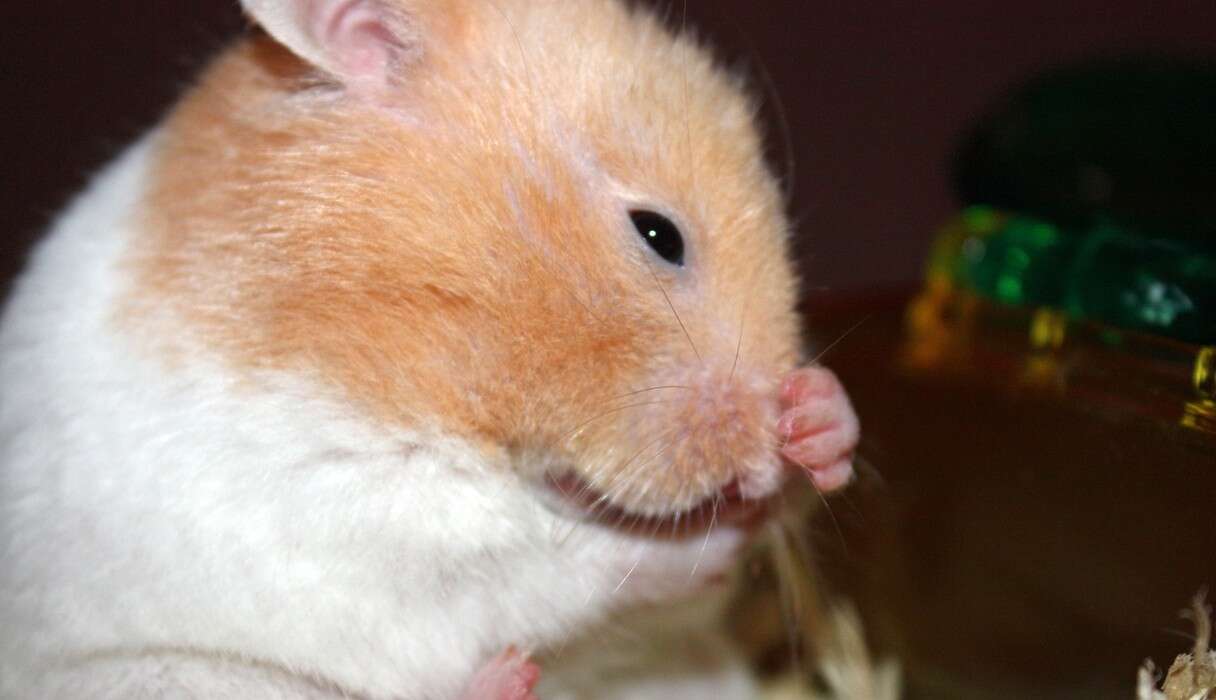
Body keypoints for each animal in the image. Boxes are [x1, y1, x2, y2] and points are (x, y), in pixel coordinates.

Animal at [0, 1, 859, 698]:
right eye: (658, 234)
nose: (759, 464)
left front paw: (814, 428)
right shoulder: (354, 516)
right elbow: (554, 568)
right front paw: (710, 538)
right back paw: (504, 683)